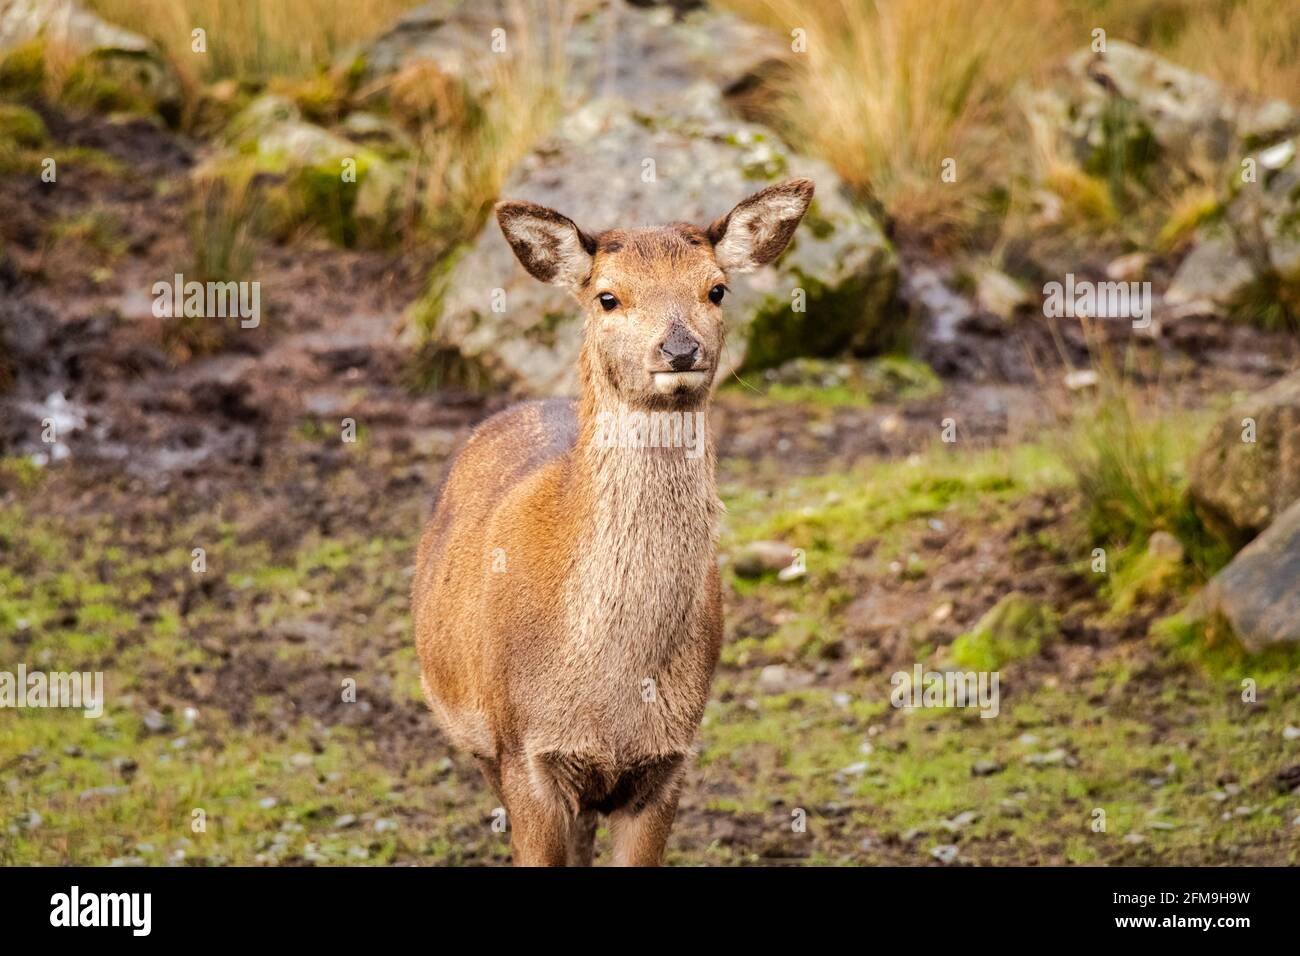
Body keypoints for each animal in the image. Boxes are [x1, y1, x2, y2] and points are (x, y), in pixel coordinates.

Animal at [411, 178, 815, 865]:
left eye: (716, 288)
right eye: (608, 296)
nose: (680, 349)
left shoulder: (668, 763)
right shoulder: (525, 754)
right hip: (475, 735)